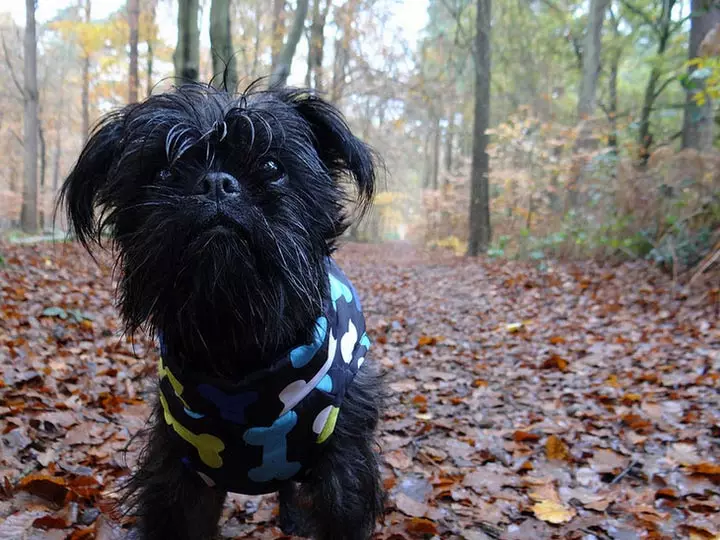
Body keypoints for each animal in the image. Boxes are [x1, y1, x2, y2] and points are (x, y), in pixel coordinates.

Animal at [59, 82, 386, 536]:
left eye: (272, 166)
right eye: (162, 173)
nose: (216, 182)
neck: (239, 354)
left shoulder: (345, 474)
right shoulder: (178, 478)